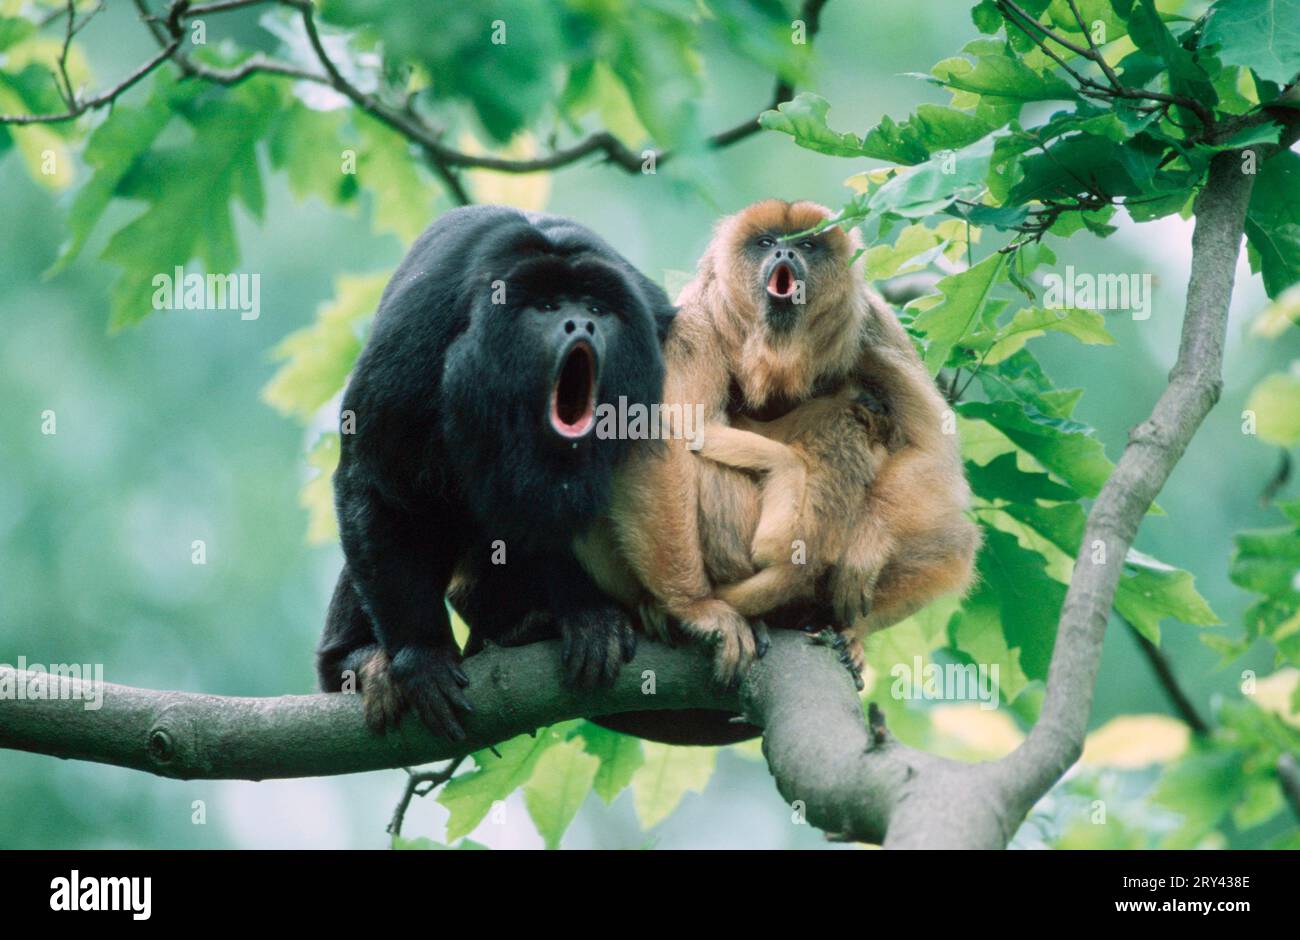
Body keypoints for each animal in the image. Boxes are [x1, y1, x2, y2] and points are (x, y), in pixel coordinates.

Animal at [315, 205, 675, 740]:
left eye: (595, 307)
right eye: (547, 307)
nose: (580, 324)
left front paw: (589, 618)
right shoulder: (420, 331)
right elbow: (374, 485)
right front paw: (422, 658)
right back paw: (357, 661)